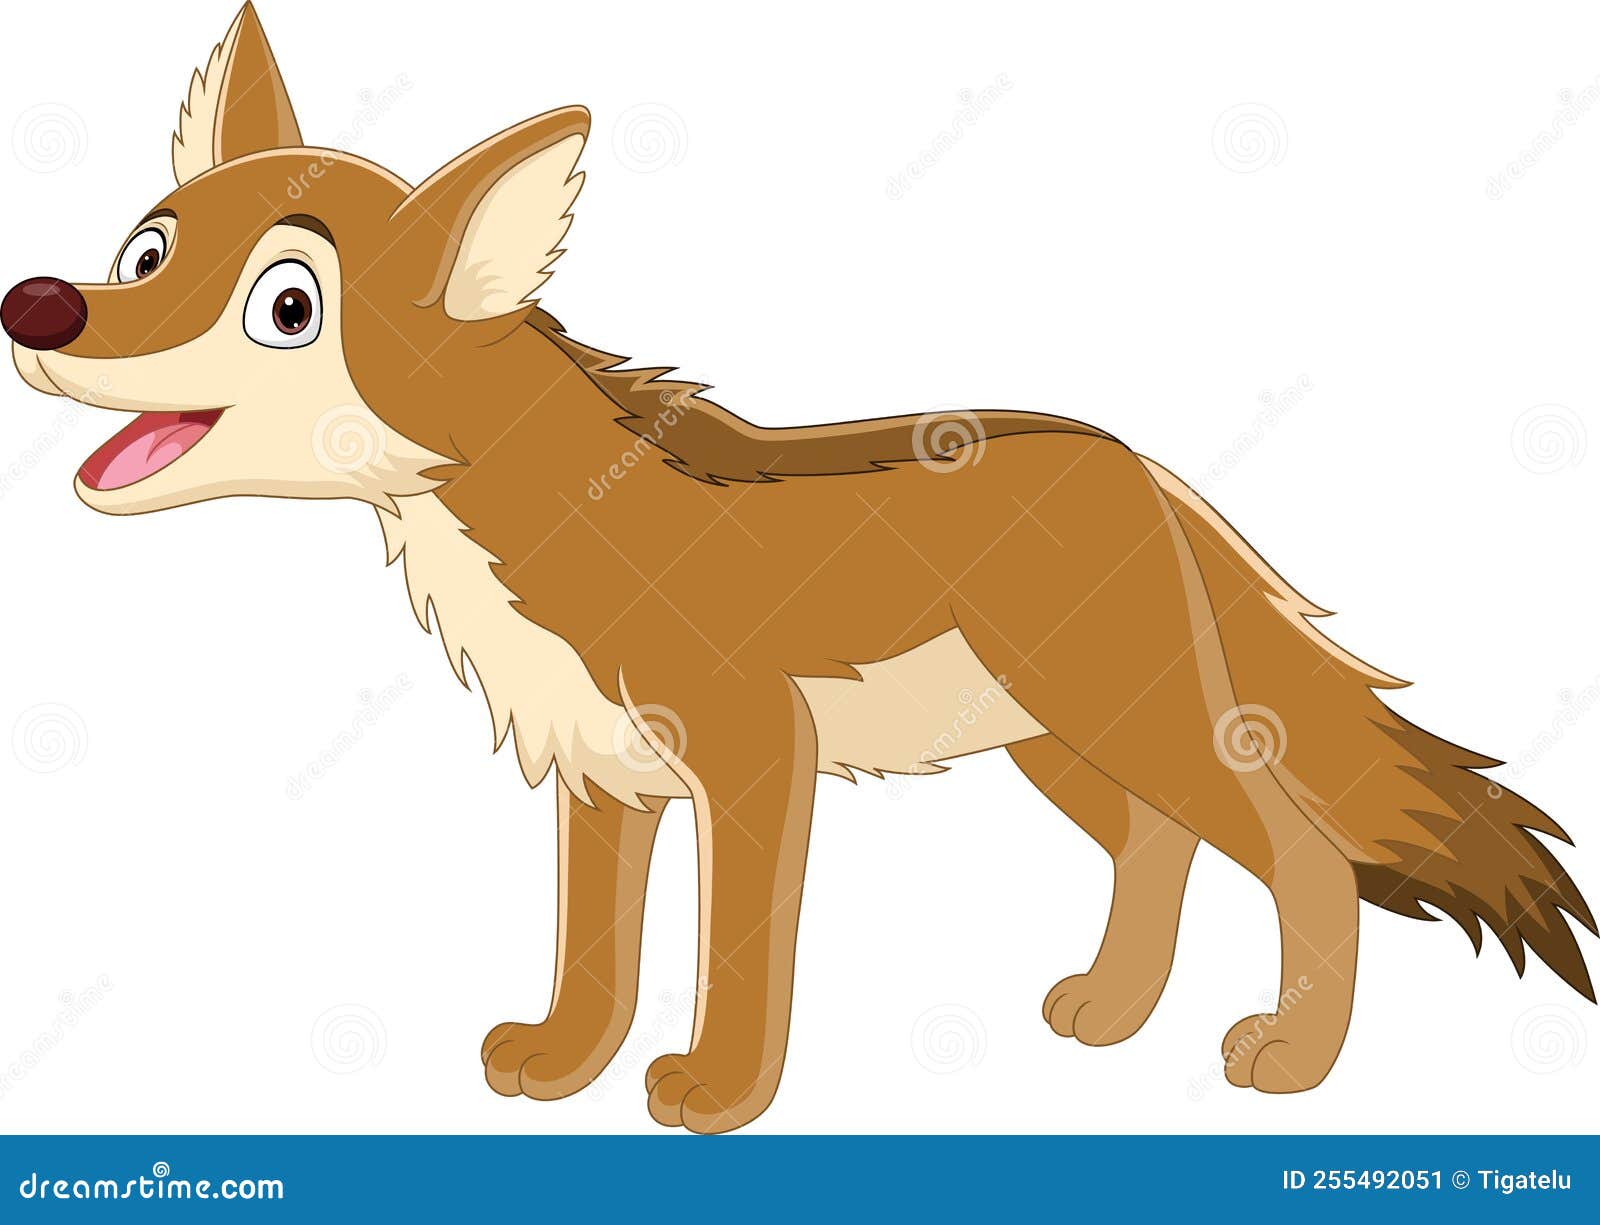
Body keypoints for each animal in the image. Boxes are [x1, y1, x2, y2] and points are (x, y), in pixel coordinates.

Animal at [3, 4, 1592, 1132]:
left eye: (287, 305)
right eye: (146, 252)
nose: (42, 307)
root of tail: (1131, 459)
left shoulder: (751, 758)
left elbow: (737, 958)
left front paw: (718, 1097)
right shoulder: (607, 777)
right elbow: (596, 955)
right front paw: (562, 1066)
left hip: (1125, 722)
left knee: (1299, 854)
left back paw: (1287, 1060)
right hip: (1061, 749)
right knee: (1163, 847)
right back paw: (1110, 1014)